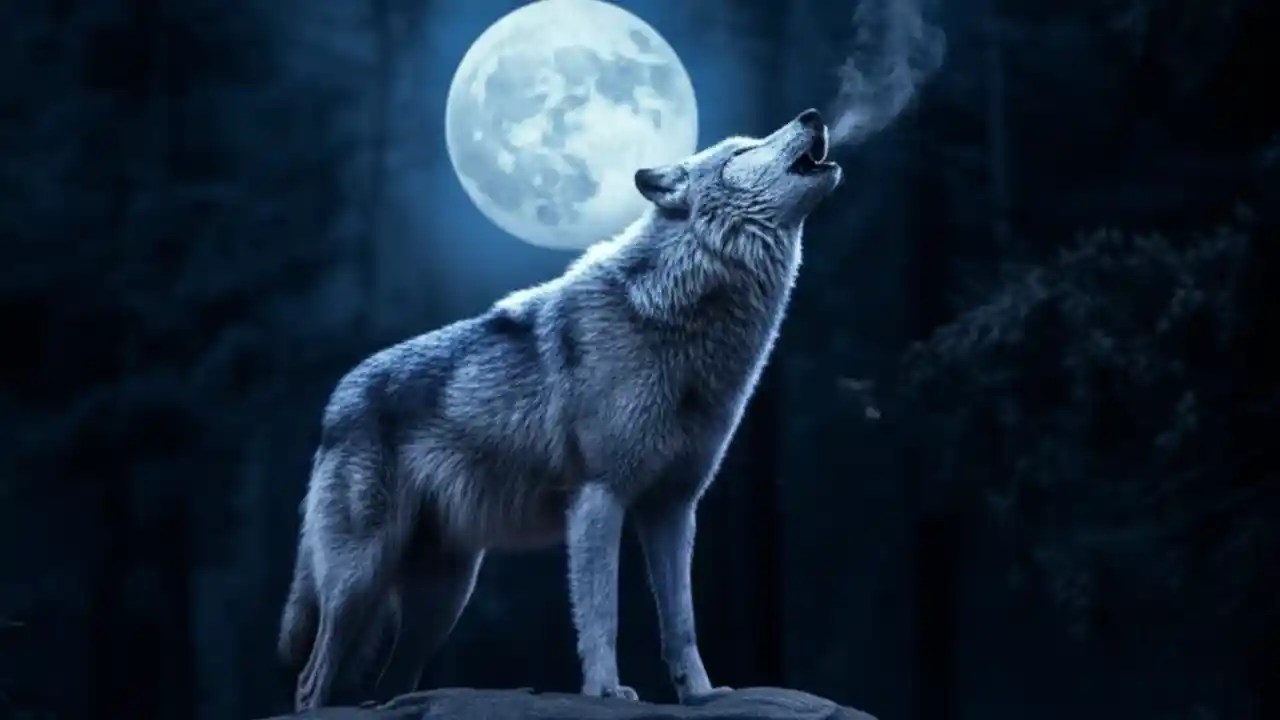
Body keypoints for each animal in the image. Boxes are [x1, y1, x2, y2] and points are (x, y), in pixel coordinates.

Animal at [278, 109, 842, 711]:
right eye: (741, 151)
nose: (812, 115)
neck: (676, 306)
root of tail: (335, 402)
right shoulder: (600, 496)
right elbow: (602, 615)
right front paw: (606, 690)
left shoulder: (673, 506)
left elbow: (682, 622)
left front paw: (702, 694)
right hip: (360, 579)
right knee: (310, 679)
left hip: (444, 598)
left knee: (393, 685)